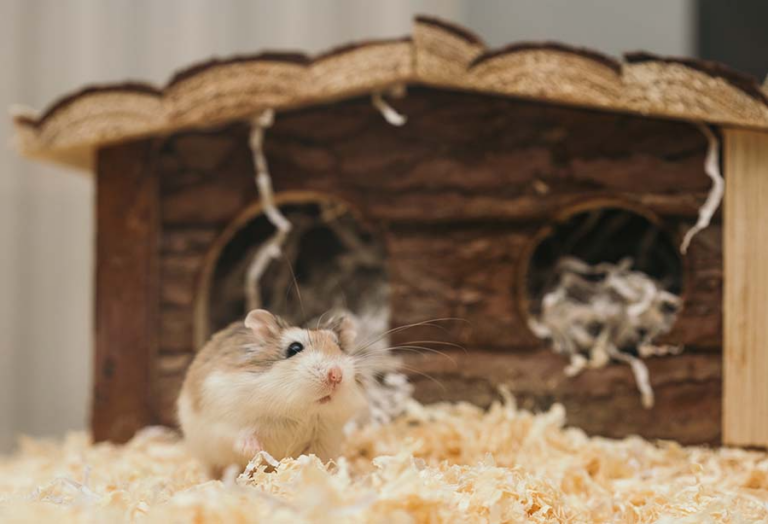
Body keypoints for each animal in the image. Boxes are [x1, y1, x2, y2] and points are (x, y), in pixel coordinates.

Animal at [177, 309, 369, 476]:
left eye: (339, 347)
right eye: (294, 348)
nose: (336, 375)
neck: (300, 412)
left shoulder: (324, 439)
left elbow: (316, 459)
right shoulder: (226, 420)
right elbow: (240, 435)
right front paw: (256, 450)